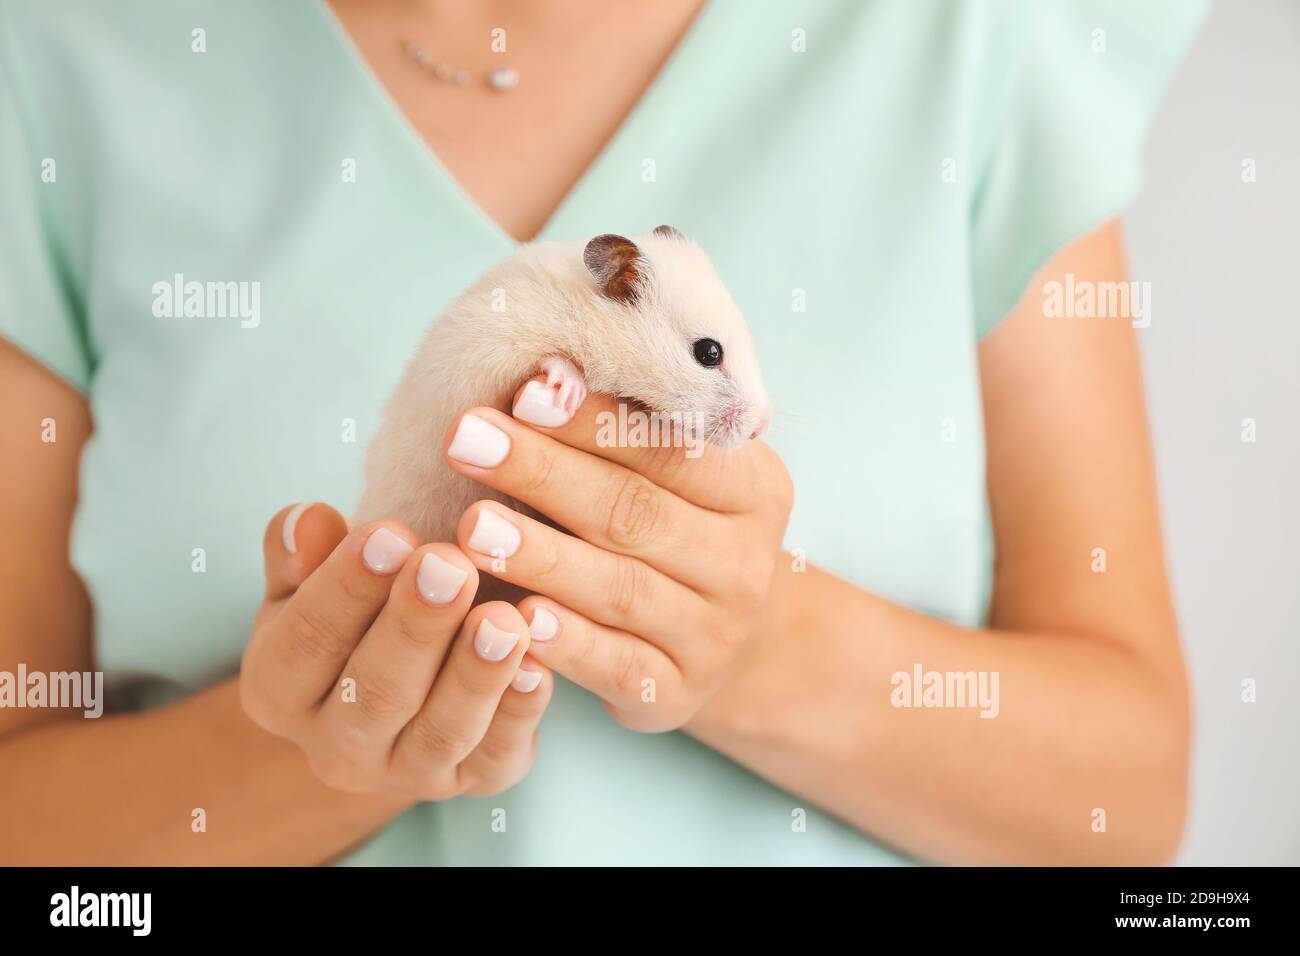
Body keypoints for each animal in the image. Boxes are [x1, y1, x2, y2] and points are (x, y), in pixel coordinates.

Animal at [354, 225, 770, 564]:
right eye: (708, 352)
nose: (760, 429)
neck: (584, 314)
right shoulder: (485, 349)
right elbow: (546, 360)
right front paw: (566, 392)